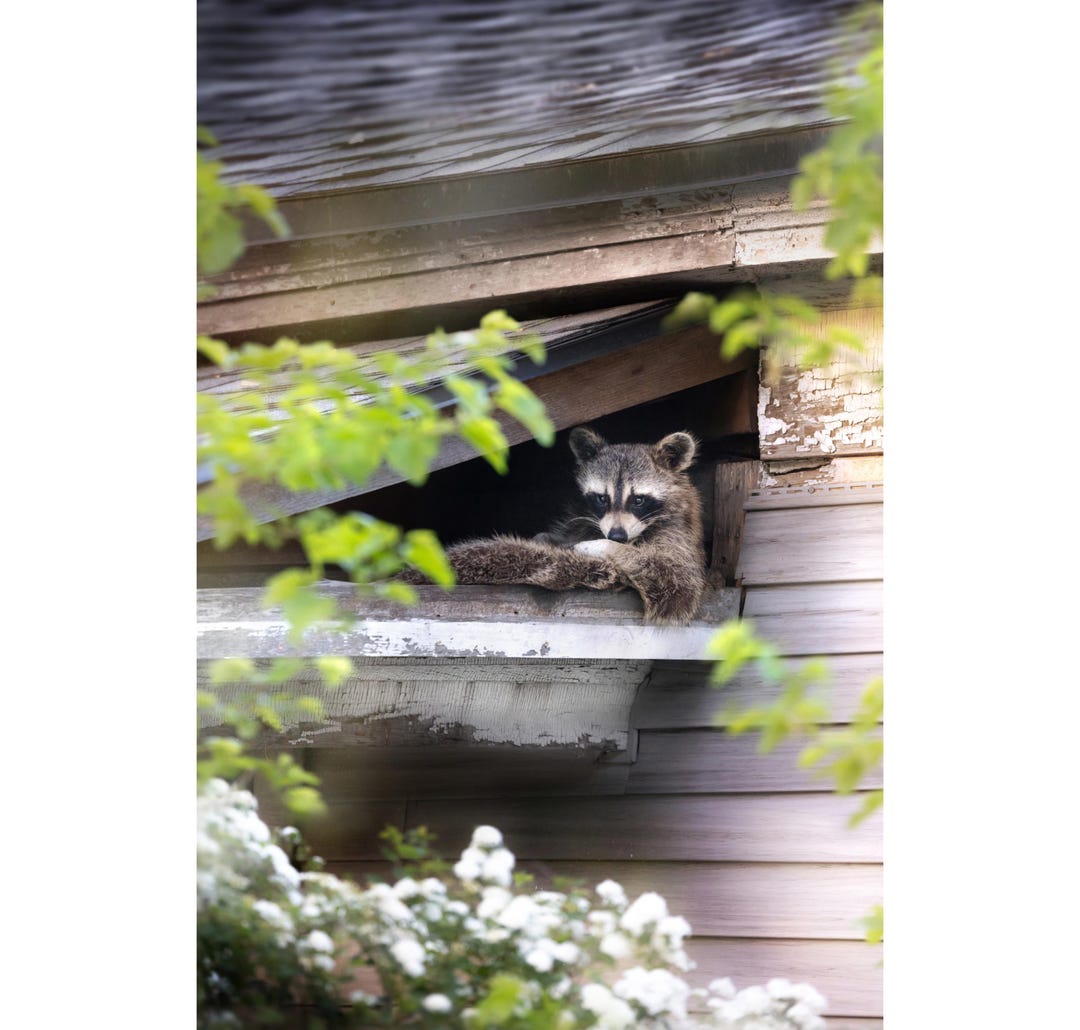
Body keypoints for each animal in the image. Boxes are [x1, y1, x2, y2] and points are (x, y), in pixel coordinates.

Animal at [415, 427, 707, 625]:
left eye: (638, 500)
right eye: (602, 498)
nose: (616, 535)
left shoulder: (676, 533)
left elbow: (674, 578)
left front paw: (600, 546)